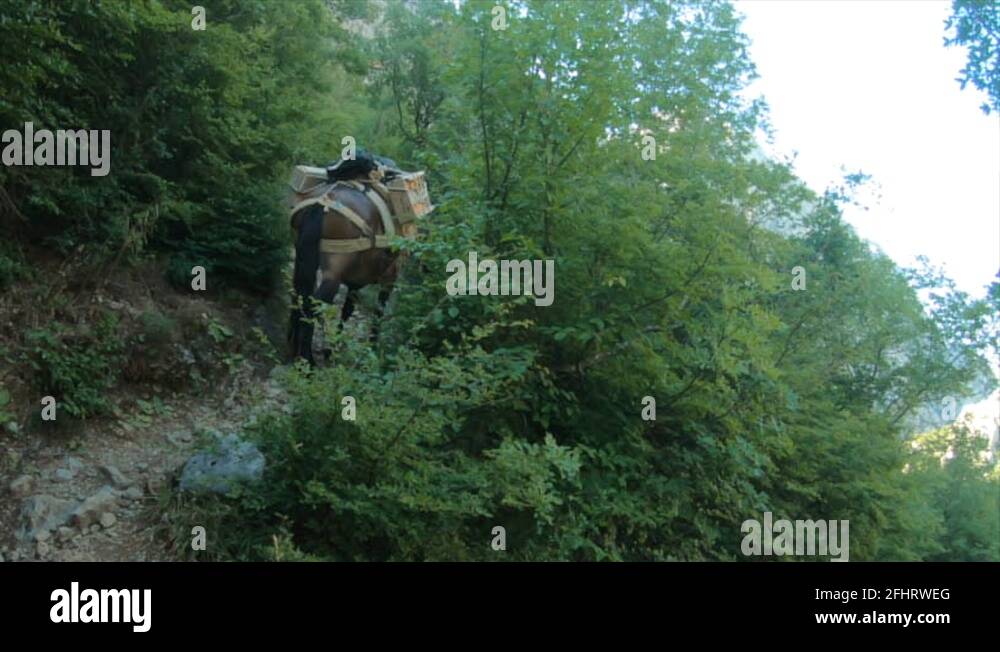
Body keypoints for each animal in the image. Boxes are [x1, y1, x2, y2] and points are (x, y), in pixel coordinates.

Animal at [287, 180, 402, 364]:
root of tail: (322, 202)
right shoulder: (389, 278)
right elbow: (378, 313)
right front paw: (371, 349)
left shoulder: (356, 283)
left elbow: (347, 310)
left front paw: (332, 349)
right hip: (333, 273)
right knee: (313, 305)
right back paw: (307, 359)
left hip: (301, 258)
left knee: (298, 295)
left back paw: (293, 347)